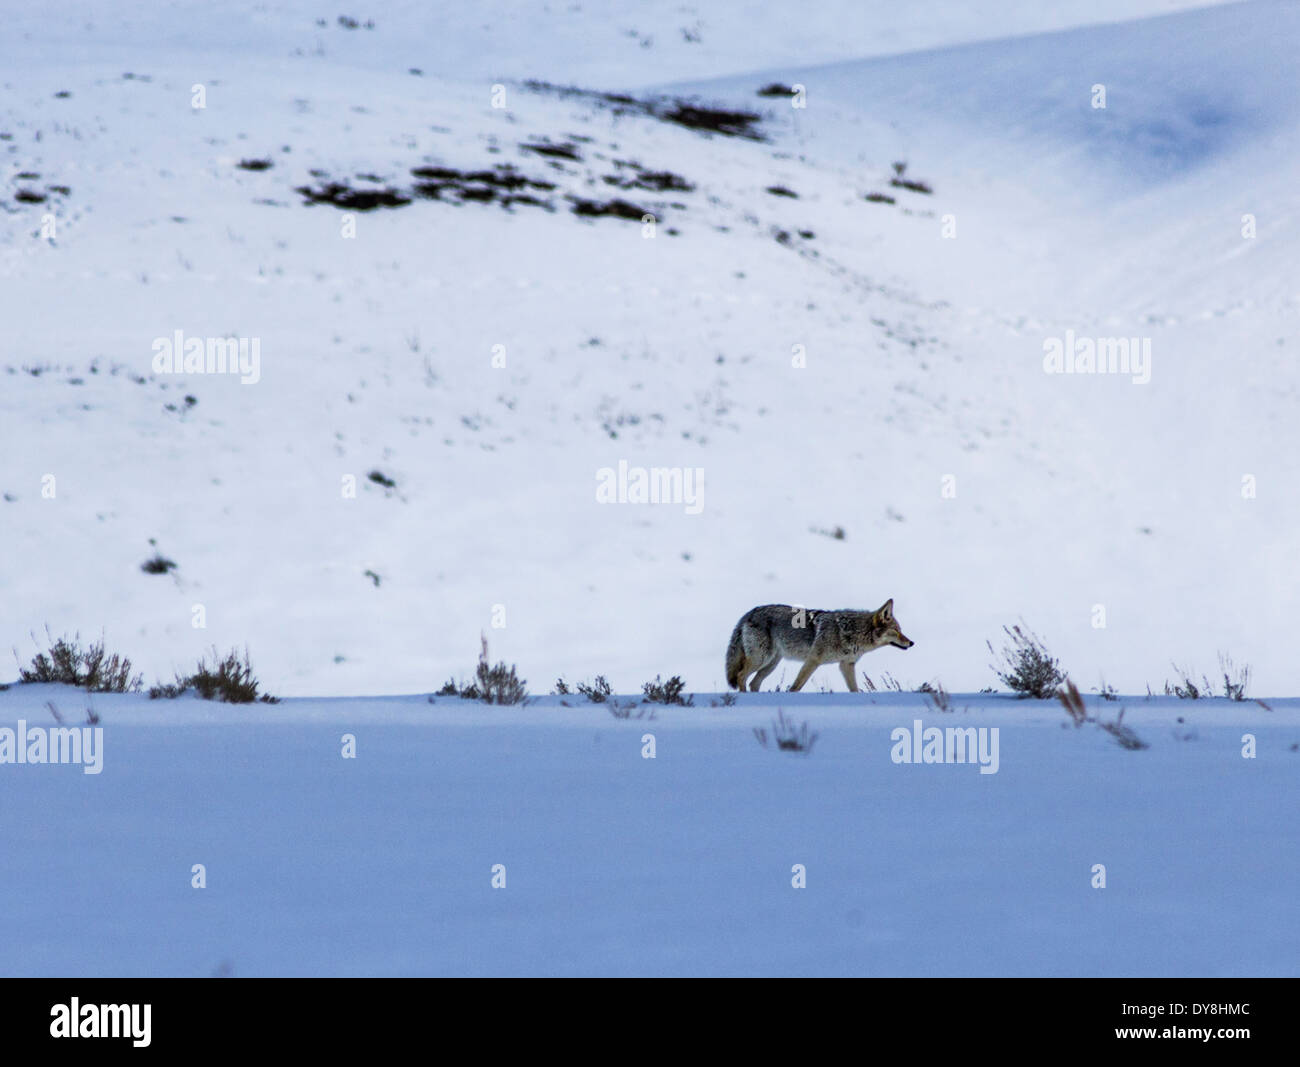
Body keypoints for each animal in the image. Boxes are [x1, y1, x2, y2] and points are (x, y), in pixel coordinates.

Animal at [725, 601, 914, 692]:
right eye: (896, 631)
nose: (911, 643)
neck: (852, 631)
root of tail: (750, 612)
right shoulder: (812, 661)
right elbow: (795, 687)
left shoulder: (846, 665)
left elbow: (855, 689)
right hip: (761, 659)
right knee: (741, 676)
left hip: (770, 664)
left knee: (753, 683)